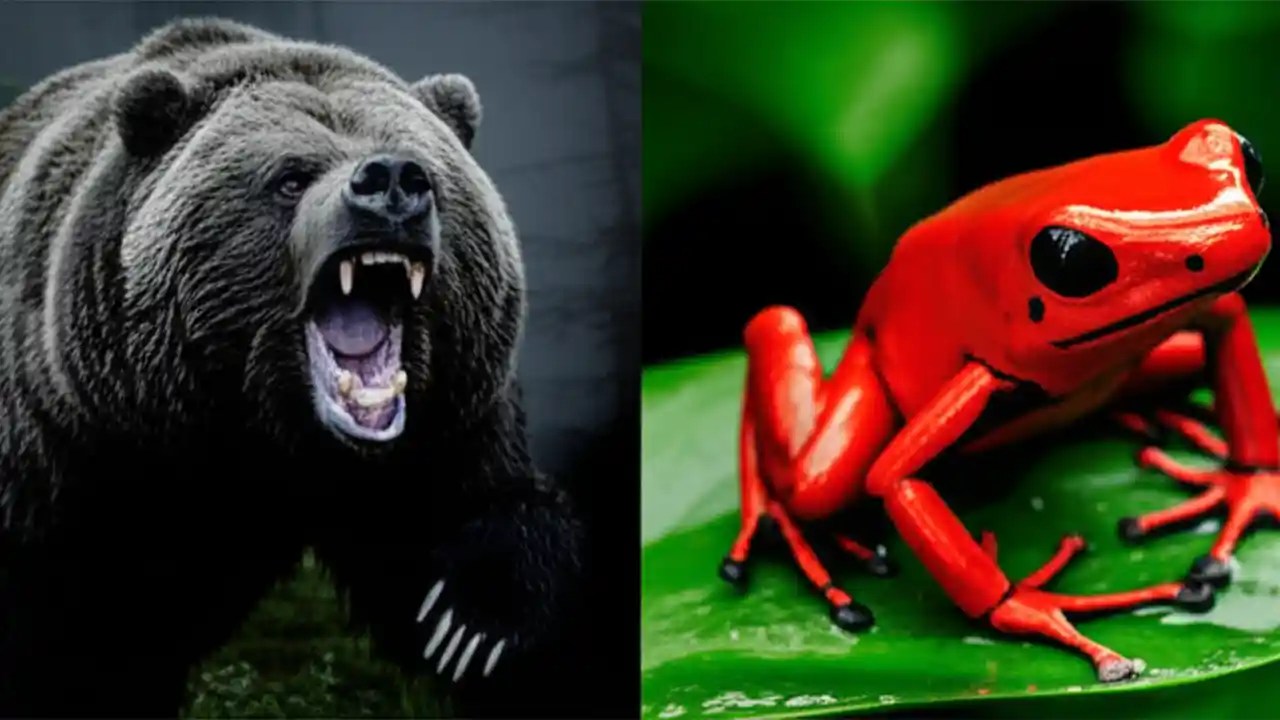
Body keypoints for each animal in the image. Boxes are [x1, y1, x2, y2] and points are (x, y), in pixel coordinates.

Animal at [0, 16, 582, 717]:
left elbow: (463, 559)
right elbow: (55, 643)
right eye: (290, 177)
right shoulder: (65, 450)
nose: (391, 180)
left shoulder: (437, 436)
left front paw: (474, 627)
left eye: (431, 174)